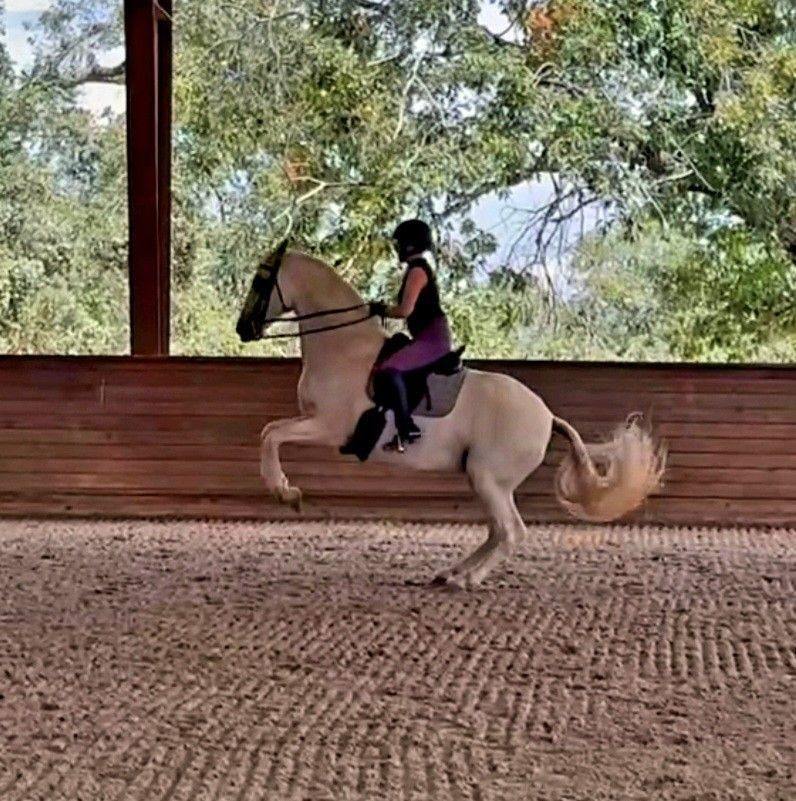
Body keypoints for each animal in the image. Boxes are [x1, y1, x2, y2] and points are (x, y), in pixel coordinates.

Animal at [236, 241, 666, 589]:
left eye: (260, 280)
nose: (243, 328)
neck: (344, 348)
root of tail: (546, 416)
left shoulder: (328, 427)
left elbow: (271, 434)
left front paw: (285, 492)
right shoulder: (316, 422)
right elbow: (269, 431)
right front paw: (285, 489)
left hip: (487, 477)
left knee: (510, 532)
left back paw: (466, 580)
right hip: (486, 480)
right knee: (496, 532)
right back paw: (452, 572)